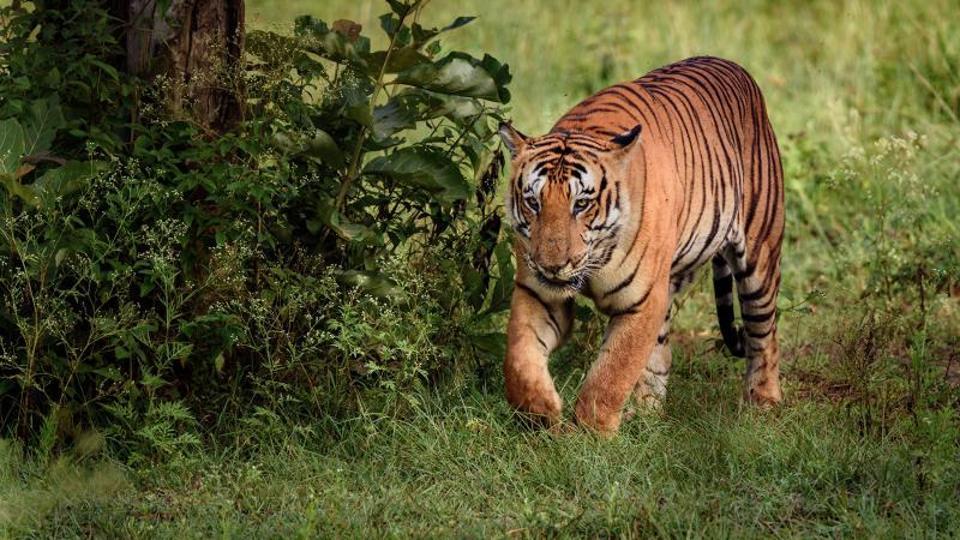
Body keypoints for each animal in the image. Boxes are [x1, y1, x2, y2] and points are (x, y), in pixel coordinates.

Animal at [498, 56, 784, 434]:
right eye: (533, 202)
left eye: (581, 204)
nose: (552, 265)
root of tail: (732, 65)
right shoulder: (537, 292)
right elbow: (519, 356)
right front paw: (542, 413)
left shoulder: (642, 301)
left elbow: (612, 373)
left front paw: (590, 434)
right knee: (662, 352)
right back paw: (646, 414)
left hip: (759, 254)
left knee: (764, 334)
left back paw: (763, 404)